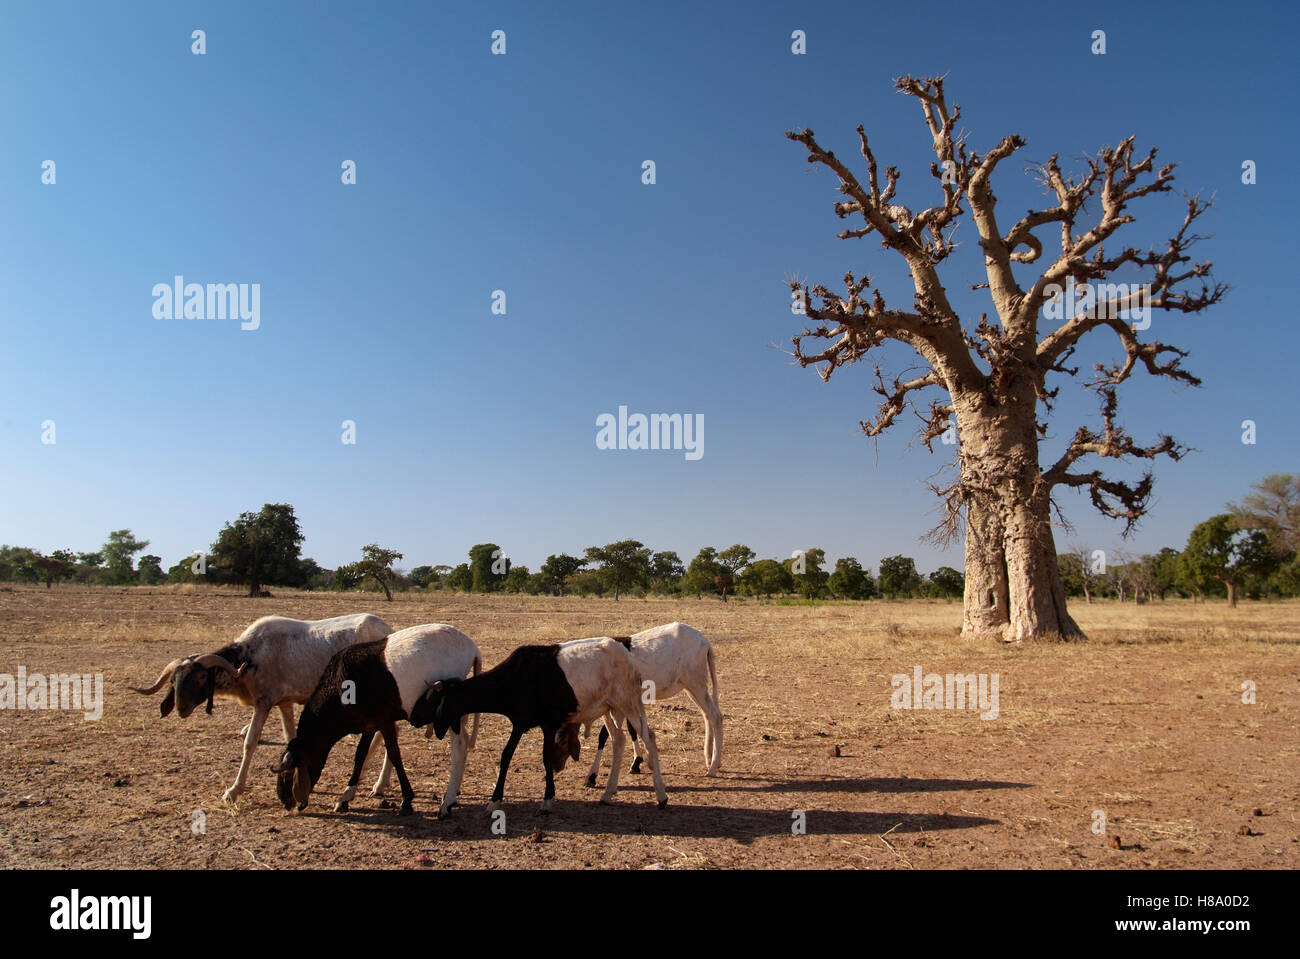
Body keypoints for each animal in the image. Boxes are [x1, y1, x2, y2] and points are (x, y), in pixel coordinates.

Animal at [129, 613, 392, 802]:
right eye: (174, 681)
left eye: (201, 677)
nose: (181, 708)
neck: (250, 656)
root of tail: (389, 630)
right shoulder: (284, 703)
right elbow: (290, 736)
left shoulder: (263, 702)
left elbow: (250, 742)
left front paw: (233, 791)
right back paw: (379, 782)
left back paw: (377, 783)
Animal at [273, 624, 480, 818]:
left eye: (287, 773)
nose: (285, 801)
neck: (340, 686)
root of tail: (473, 649)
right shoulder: (368, 723)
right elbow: (360, 755)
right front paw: (345, 796)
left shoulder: (383, 720)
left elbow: (395, 755)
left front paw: (406, 800)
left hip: (447, 712)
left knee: (459, 746)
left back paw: (447, 802)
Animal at [409, 638, 667, 812]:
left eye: (431, 699)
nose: (412, 717)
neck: (514, 678)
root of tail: (627, 656)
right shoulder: (519, 723)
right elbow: (506, 756)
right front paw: (494, 801)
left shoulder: (548, 723)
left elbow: (545, 757)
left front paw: (547, 800)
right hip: (611, 708)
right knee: (619, 740)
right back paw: (607, 793)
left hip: (629, 703)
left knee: (649, 738)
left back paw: (661, 796)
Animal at [580, 622, 721, 787]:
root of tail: (704, 641)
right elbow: (628, 729)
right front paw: (637, 762)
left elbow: (605, 734)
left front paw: (592, 776)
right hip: (691, 687)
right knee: (707, 715)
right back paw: (708, 758)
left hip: (695, 683)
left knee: (715, 716)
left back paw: (713, 767)